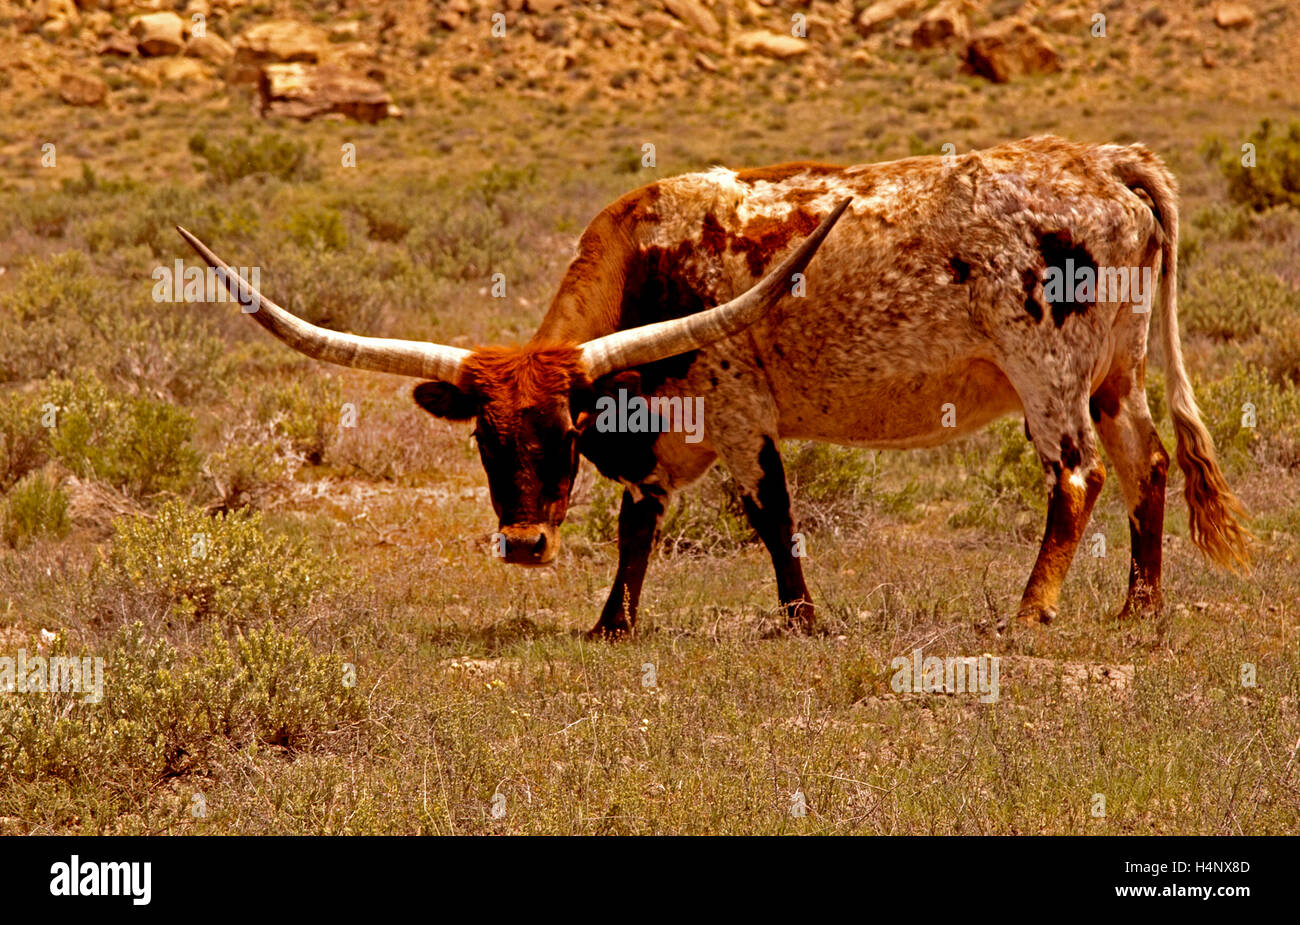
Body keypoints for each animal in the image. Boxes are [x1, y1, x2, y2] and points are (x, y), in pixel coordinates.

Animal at [178, 134, 1250, 639]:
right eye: (486, 439)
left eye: (563, 433)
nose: (523, 546)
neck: (647, 264)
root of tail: (1106, 160)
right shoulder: (658, 447)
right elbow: (637, 526)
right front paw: (611, 621)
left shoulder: (736, 415)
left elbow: (774, 518)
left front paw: (803, 619)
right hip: (1117, 373)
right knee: (1150, 466)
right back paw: (1139, 607)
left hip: (1049, 374)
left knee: (1077, 477)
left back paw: (1030, 610)